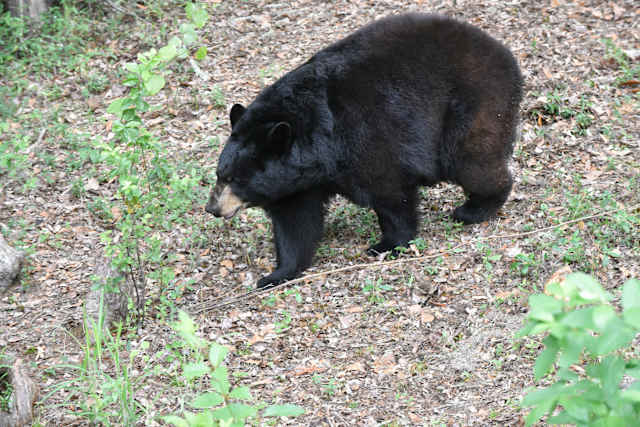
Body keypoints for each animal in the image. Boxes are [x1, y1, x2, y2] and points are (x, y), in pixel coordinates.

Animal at [205, 13, 523, 288]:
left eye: (236, 179)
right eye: (220, 174)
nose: (212, 209)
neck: (320, 144)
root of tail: (504, 53)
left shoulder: (366, 139)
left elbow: (391, 194)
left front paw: (387, 245)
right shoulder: (296, 182)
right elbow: (295, 223)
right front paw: (276, 274)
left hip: (474, 104)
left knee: (471, 161)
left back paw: (474, 209)